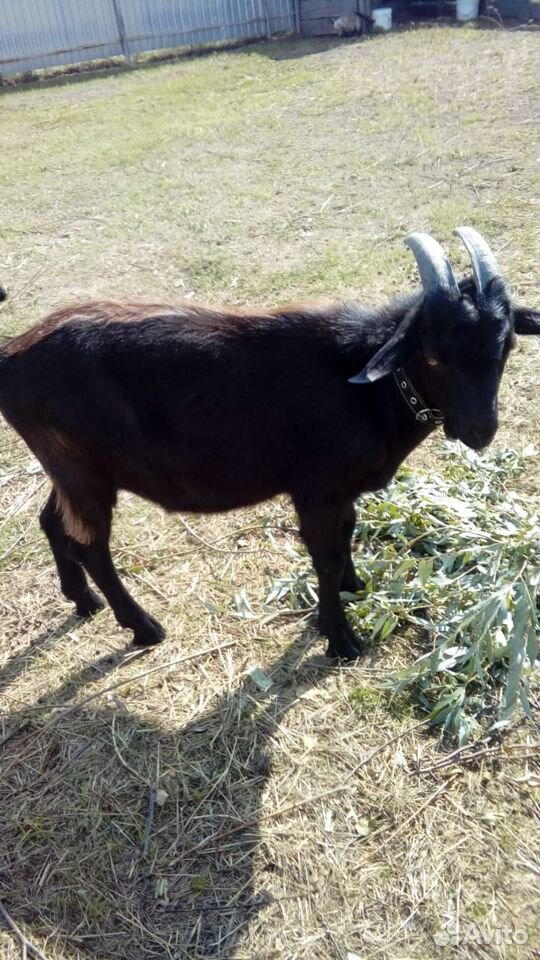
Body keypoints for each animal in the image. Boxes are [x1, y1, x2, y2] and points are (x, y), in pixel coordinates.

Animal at [1, 229, 539, 659]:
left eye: (508, 345)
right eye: (432, 356)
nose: (480, 430)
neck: (362, 387)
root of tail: (11, 357)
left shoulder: (340, 491)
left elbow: (346, 538)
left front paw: (354, 588)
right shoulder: (316, 490)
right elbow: (325, 555)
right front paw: (340, 639)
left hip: (67, 467)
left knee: (52, 521)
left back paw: (83, 600)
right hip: (85, 473)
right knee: (91, 545)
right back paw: (144, 627)